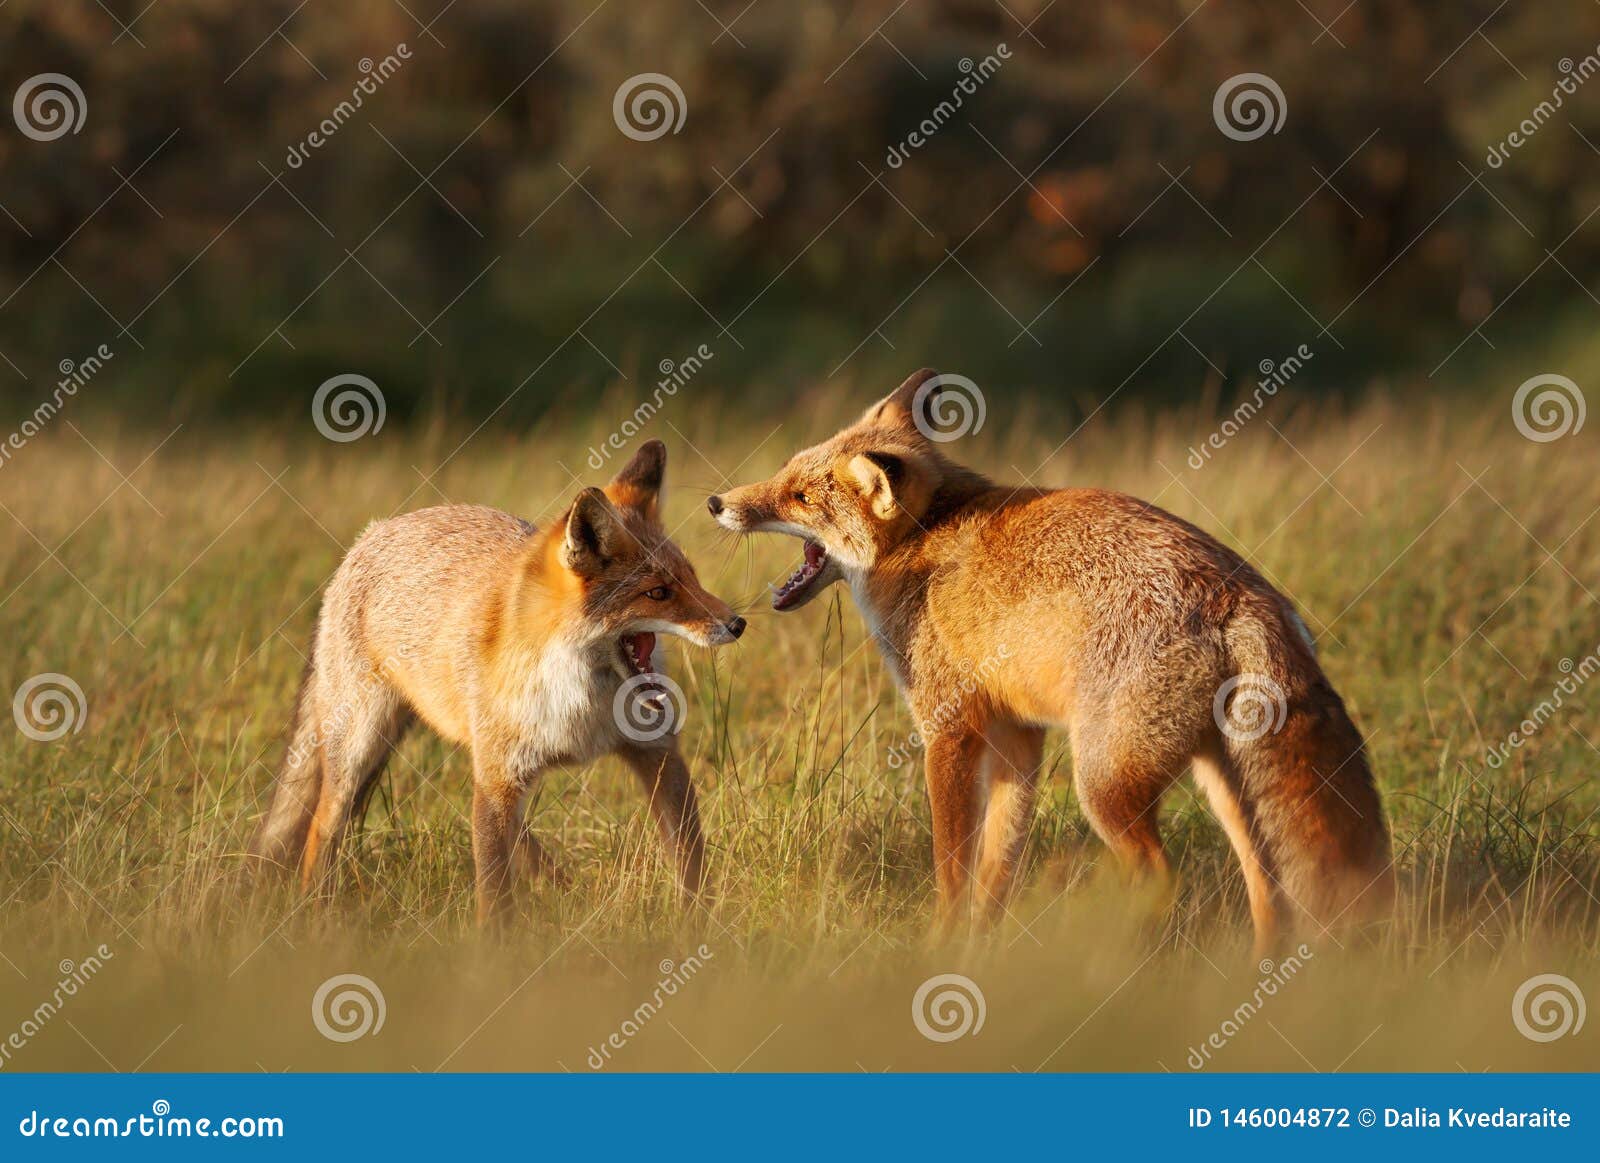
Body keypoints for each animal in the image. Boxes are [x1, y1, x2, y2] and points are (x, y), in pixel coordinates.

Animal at [251, 440, 745, 921]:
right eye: (658, 593)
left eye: (692, 579)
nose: (737, 624)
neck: (582, 706)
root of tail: (370, 534)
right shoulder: (501, 778)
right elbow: (493, 894)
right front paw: (495, 946)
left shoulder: (657, 754)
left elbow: (690, 863)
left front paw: (698, 924)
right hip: (361, 750)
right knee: (320, 828)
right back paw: (315, 913)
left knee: (521, 837)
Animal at [709, 369, 1393, 952]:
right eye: (784, 474)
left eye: (799, 497)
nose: (716, 502)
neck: (923, 538)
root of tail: (1238, 592)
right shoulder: (1019, 735)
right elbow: (997, 867)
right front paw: (979, 952)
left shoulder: (948, 730)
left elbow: (952, 867)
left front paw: (938, 948)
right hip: (1219, 781)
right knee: (1267, 890)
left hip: (1104, 783)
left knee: (1158, 876)